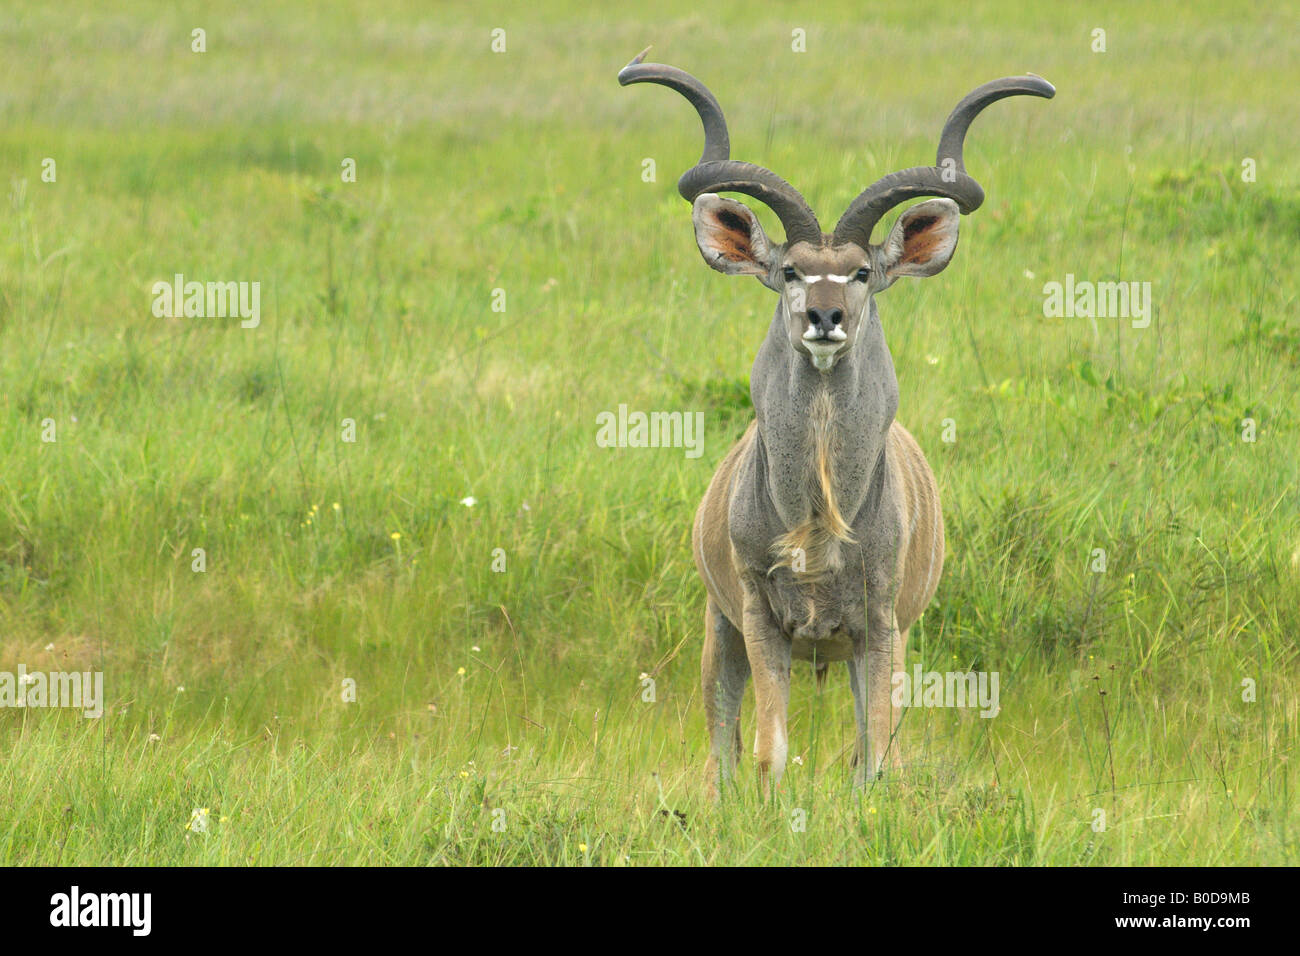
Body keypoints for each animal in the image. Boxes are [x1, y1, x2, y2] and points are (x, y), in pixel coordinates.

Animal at [619, 50, 1053, 795]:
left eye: (859, 273)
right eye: (792, 270)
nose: (827, 317)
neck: (820, 519)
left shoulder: (881, 624)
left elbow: (875, 754)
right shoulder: (759, 618)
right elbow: (768, 750)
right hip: (720, 632)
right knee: (722, 744)